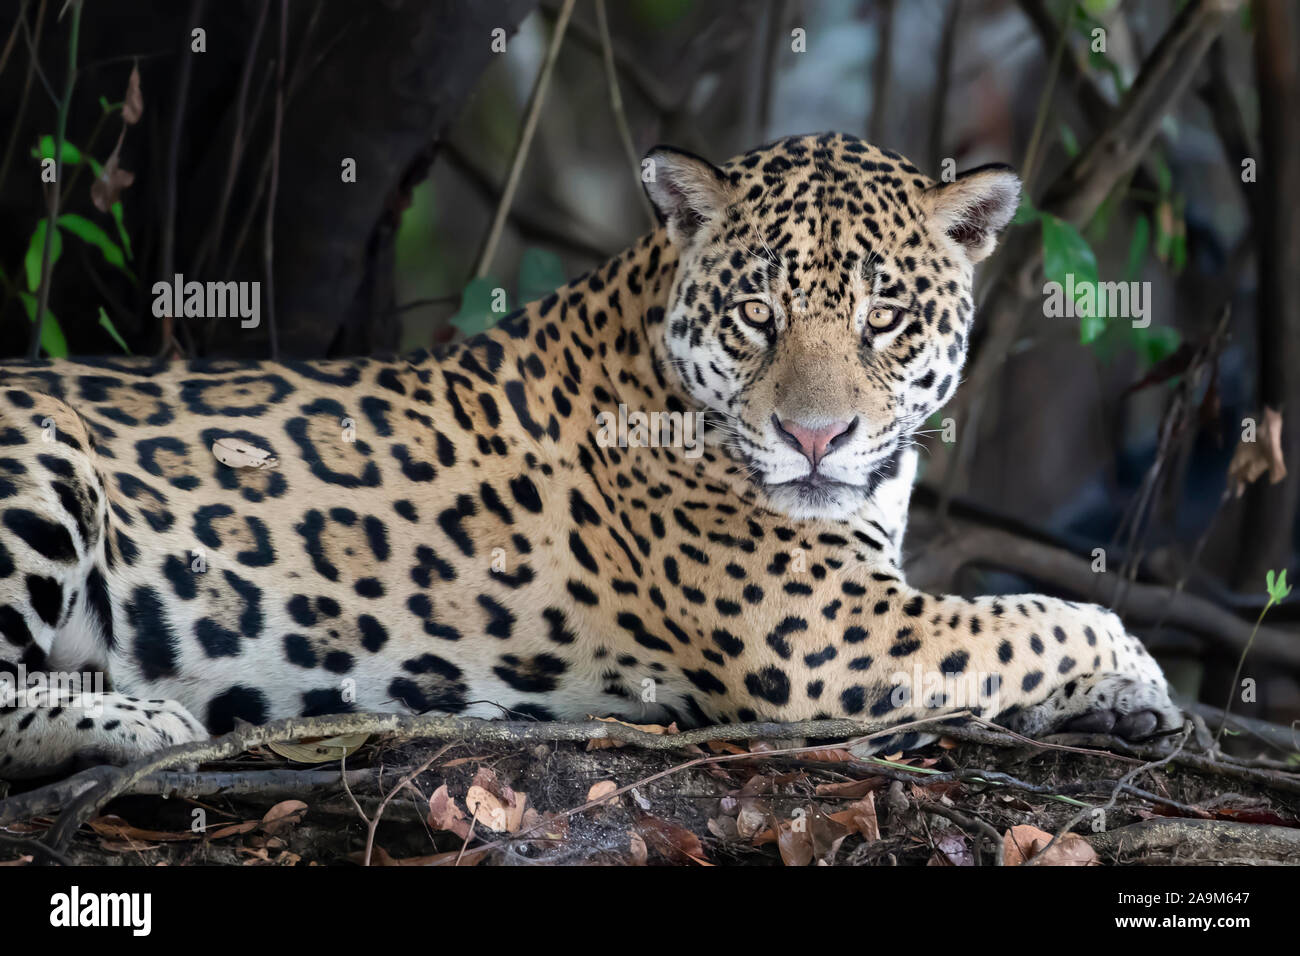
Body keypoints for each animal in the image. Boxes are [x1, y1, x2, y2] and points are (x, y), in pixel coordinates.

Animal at [0, 132, 1180, 778]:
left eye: (882, 317)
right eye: (757, 314)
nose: (815, 437)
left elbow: (1023, 627)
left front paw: (1119, 704)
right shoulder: (827, 632)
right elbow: (1040, 617)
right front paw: (1141, 672)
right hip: (40, 459)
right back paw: (136, 716)